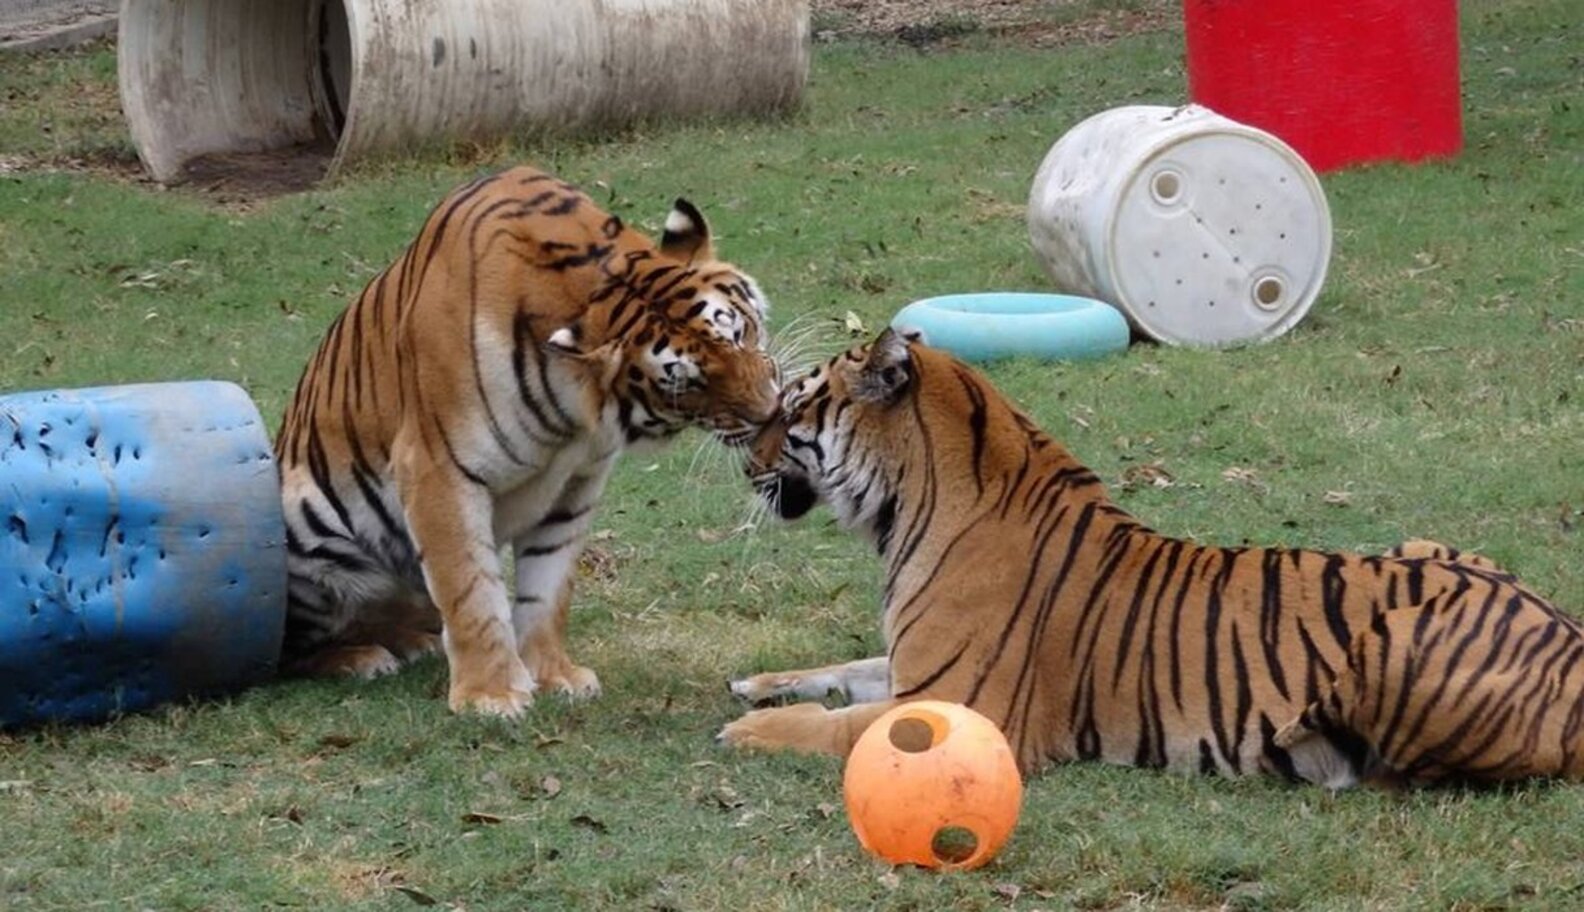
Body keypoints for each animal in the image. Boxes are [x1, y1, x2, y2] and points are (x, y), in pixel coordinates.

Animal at [274, 165, 779, 717]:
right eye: (684, 384)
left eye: (738, 335)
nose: (770, 413)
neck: (577, 416)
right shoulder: (438, 471)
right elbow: (470, 589)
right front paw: (490, 695)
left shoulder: (576, 482)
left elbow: (547, 586)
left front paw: (553, 674)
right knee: (282, 652)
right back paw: (360, 658)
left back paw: (413, 642)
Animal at [717, 328, 1583, 788]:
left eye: (794, 407)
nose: (743, 454)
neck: (901, 509)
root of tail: (1567, 639)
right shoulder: (908, 666)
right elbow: (844, 668)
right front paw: (755, 684)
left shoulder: (957, 703)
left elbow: (843, 726)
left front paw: (748, 732)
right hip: (1427, 547)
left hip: (1391, 648)